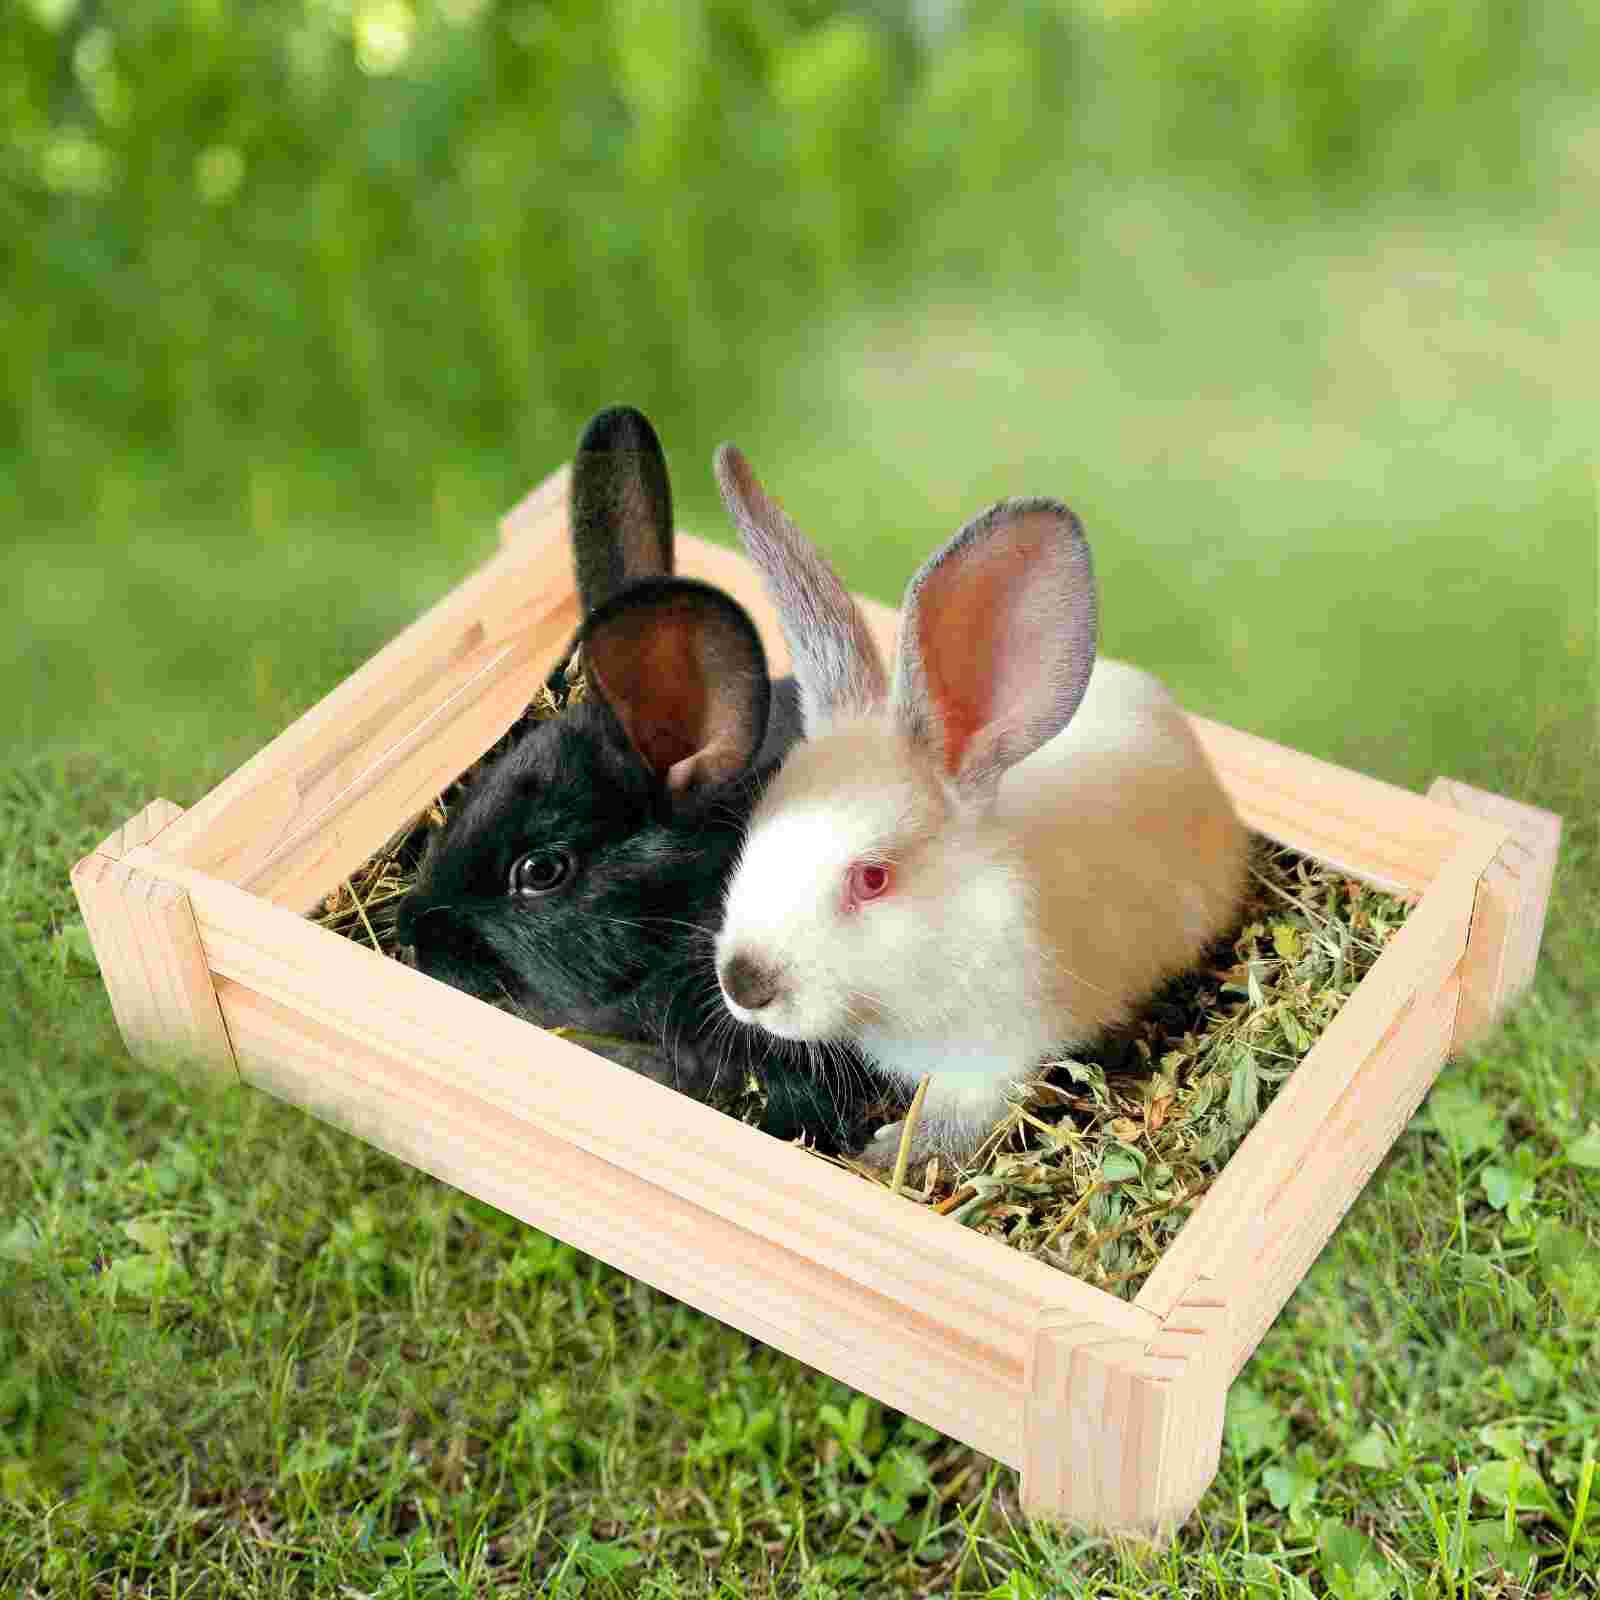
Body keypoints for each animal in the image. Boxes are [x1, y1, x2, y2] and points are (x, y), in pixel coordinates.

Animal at [710, 443, 1252, 1177]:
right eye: (757, 828)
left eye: (873, 878)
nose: (744, 984)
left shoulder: (995, 1064)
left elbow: (955, 1125)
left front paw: (886, 1153)